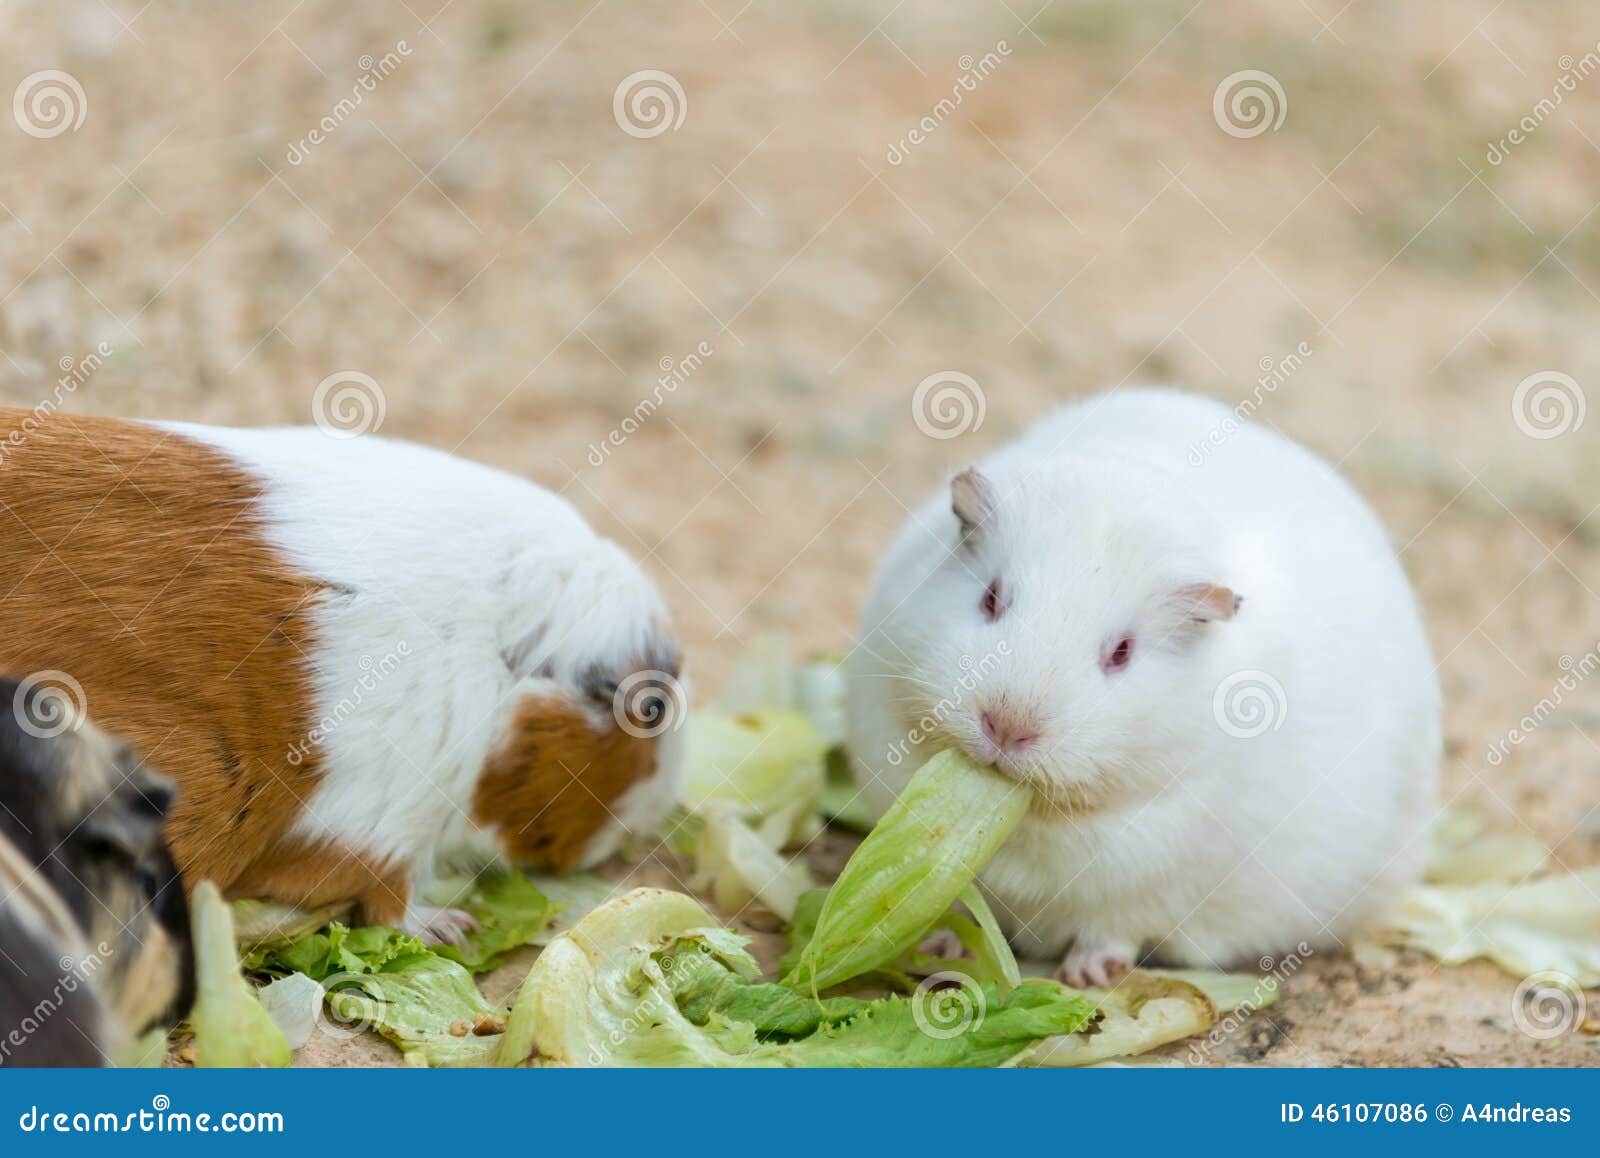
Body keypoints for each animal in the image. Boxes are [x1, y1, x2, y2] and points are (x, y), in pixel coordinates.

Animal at [848, 387, 1440, 985]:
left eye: (1122, 652)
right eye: (990, 598)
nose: (1007, 726)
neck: (1039, 820)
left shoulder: (1150, 881)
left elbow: (1112, 927)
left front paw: (1088, 976)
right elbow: (955, 898)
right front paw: (938, 946)